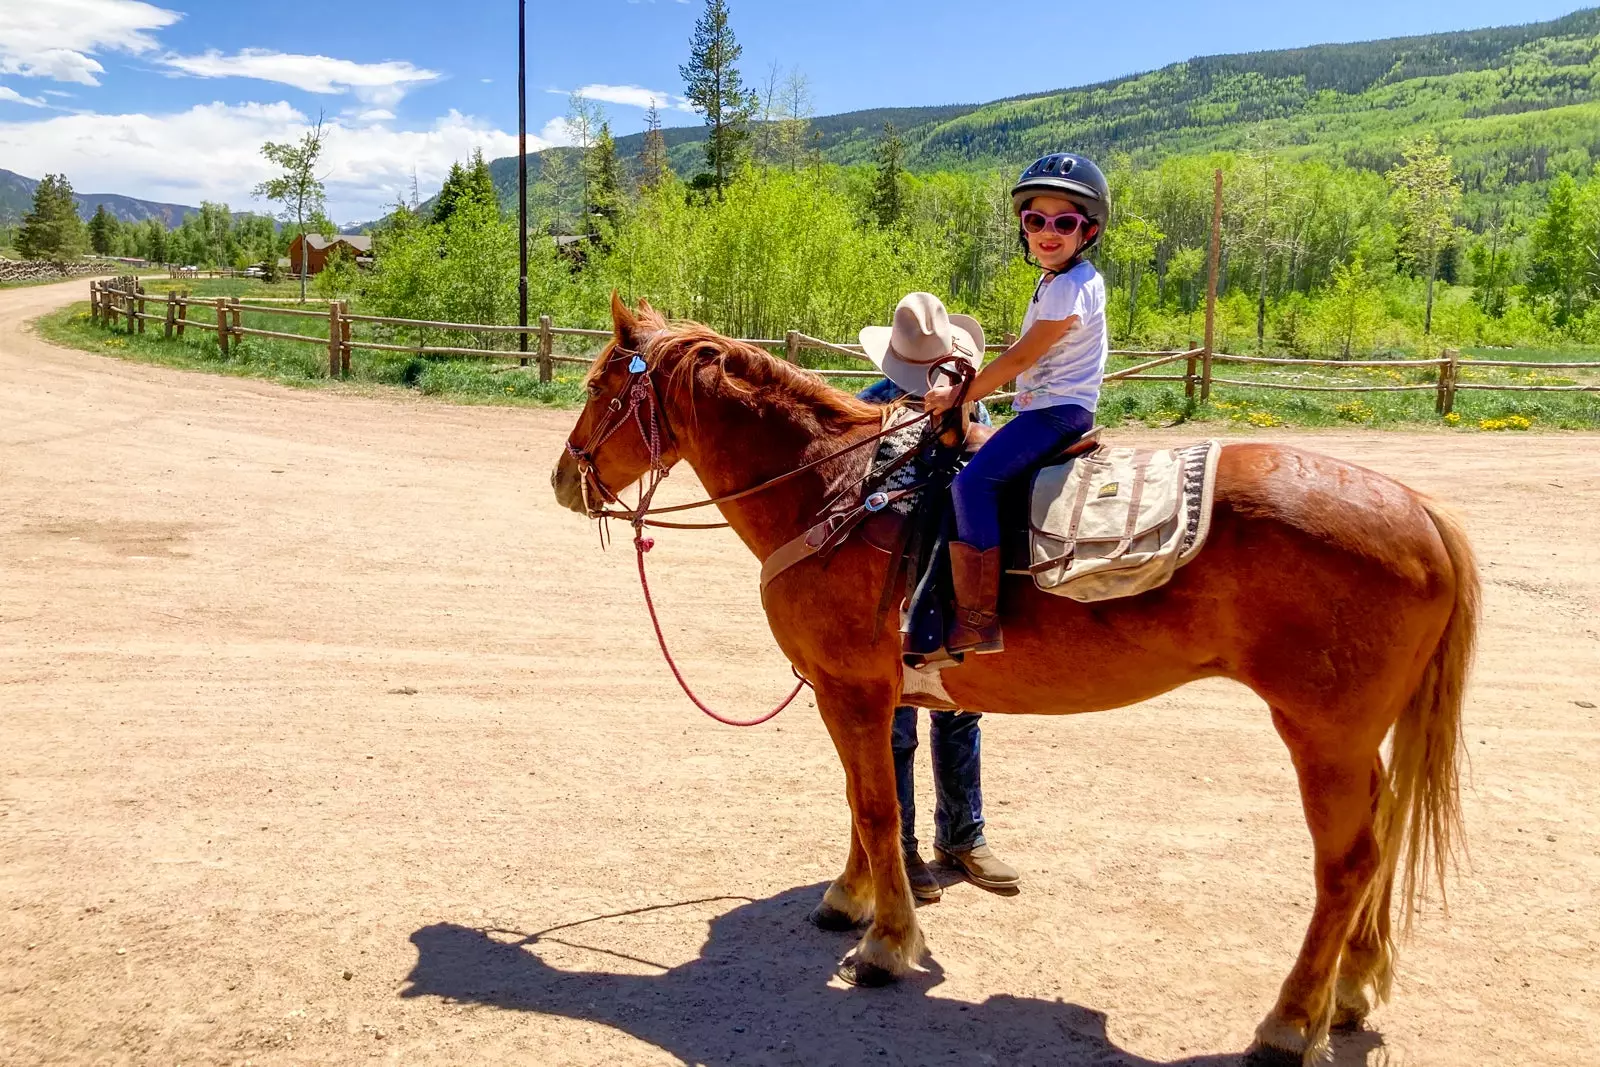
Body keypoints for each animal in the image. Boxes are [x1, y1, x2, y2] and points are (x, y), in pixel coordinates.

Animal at [556, 295, 1478, 1062]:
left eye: (602, 386)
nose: (565, 478)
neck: (832, 487)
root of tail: (1421, 510)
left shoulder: (851, 690)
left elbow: (876, 806)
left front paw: (886, 943)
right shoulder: (849, 694)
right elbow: (863, 798)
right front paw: (850, 900)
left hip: (1322, 736)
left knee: (1347, 864)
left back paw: (1289, 1023)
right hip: (1356, 740)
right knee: (1378, 844)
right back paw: (1350, 992)